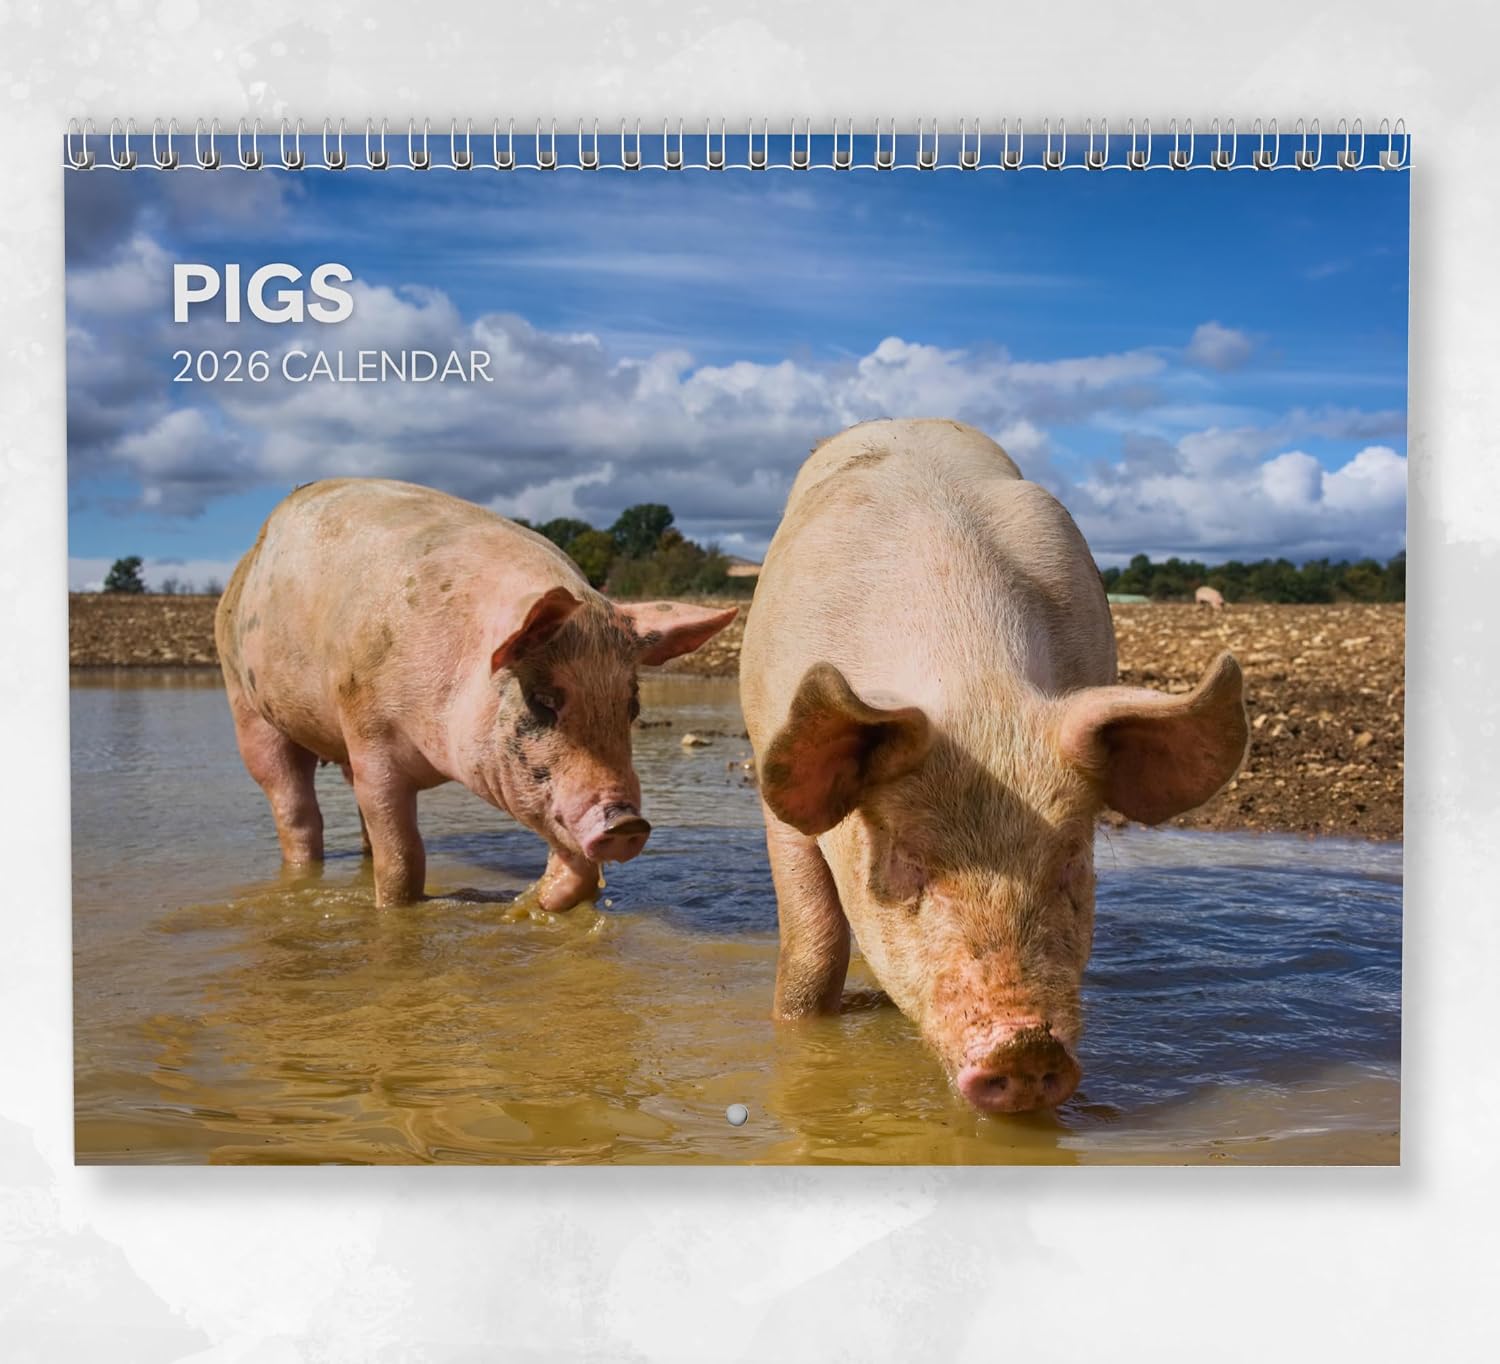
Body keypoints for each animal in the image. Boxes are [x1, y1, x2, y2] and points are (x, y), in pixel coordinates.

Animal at [215, 479, 736, 909]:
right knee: (294, 806)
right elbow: (402, 857)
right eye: (543, 701)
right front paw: (397, 909)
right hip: (245, 698)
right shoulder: (367, 729)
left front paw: (533, 904)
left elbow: (575, 861)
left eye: (631, 706)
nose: (628, 823)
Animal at [740, 420, 1248, 1114]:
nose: (1027, 1047)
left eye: (1072, 863)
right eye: (909, 862)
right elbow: (814, 944)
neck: (977, 692)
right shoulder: (779, 791)